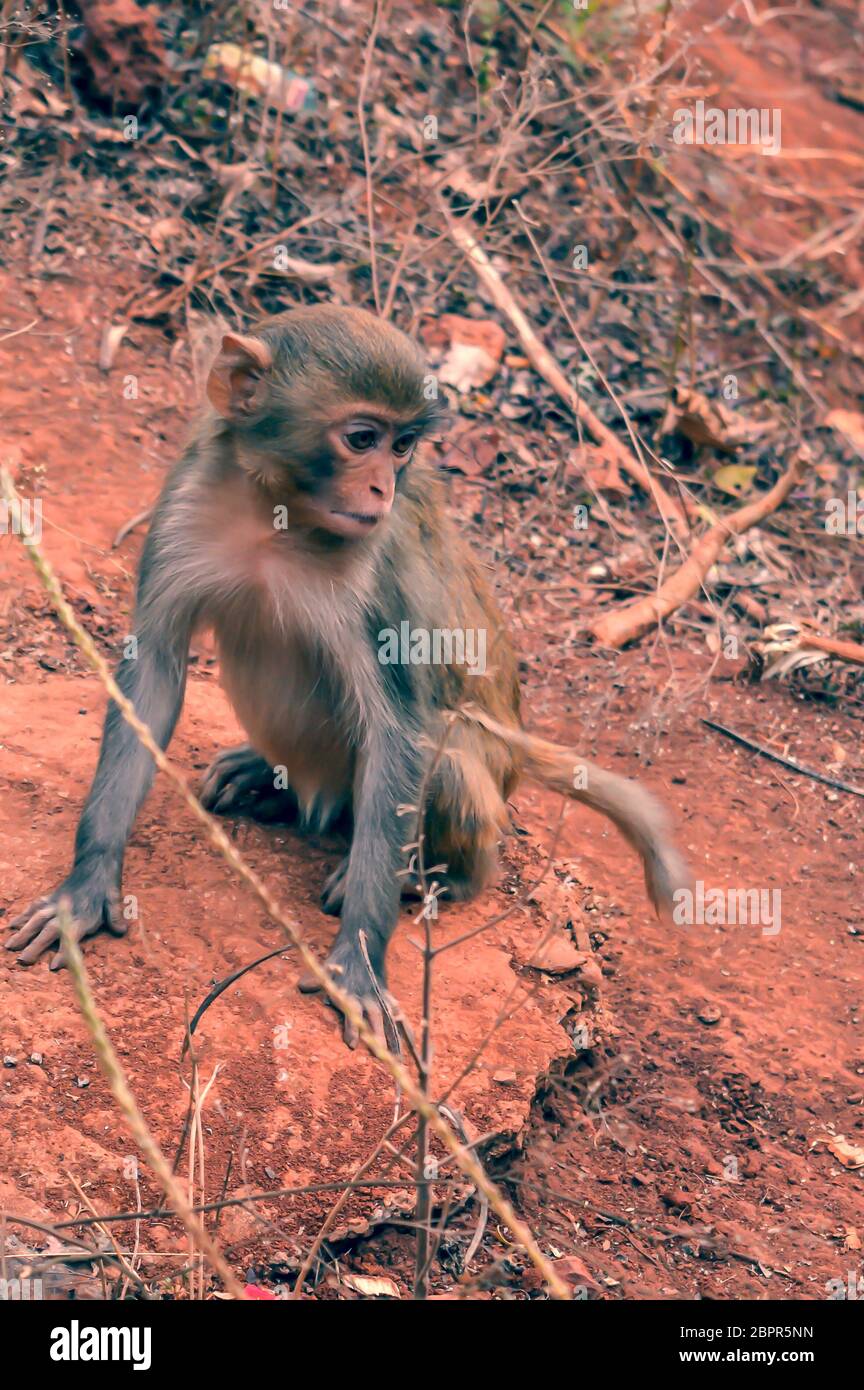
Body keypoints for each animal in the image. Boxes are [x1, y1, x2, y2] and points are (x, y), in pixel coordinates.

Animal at [6, 305, 691, 1048]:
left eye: (403, 447)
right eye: (363, 438)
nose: (382, 488)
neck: (274, 513)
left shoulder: (376, 573)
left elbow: (399, 731)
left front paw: (361, 962)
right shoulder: (183, 505)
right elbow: (154, 674)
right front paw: (87, 885)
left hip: (473, 778)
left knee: (448, 756)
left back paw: (439, 879)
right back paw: (264, 777)